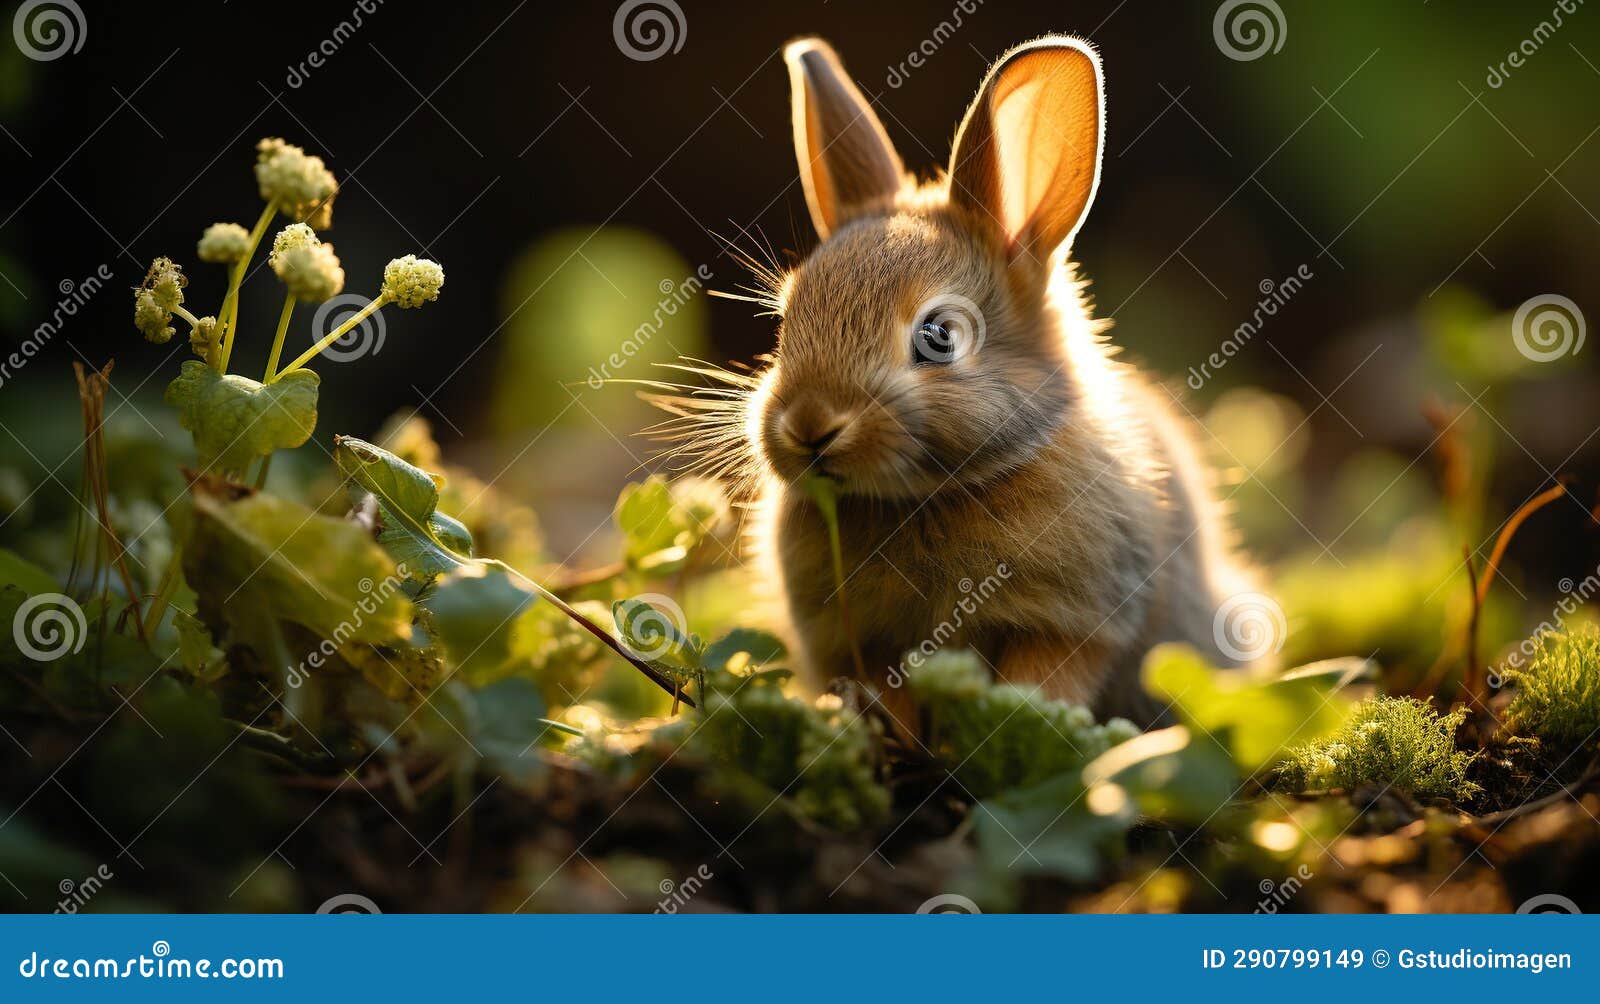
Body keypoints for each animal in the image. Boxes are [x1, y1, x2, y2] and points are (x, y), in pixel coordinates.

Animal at [677, 35, 1257, 730]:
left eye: (939, 336)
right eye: (788, 319)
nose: (811, 425)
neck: (927, 495)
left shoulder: (1075, 622)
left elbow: (1044, 679)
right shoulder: (869, 641)